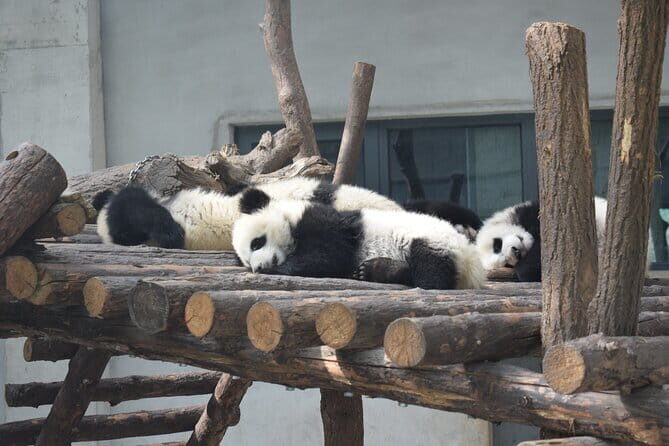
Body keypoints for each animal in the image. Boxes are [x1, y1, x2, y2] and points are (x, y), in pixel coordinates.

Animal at [232, 188, 486, 290]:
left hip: (435, 241)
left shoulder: (321, 223)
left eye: (257, 242)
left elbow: (327, 258)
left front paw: (275, 269)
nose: (258, 267)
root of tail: (474, 265)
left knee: (431, 273)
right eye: (246, 262)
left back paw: (385, 269)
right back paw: (371, 270)